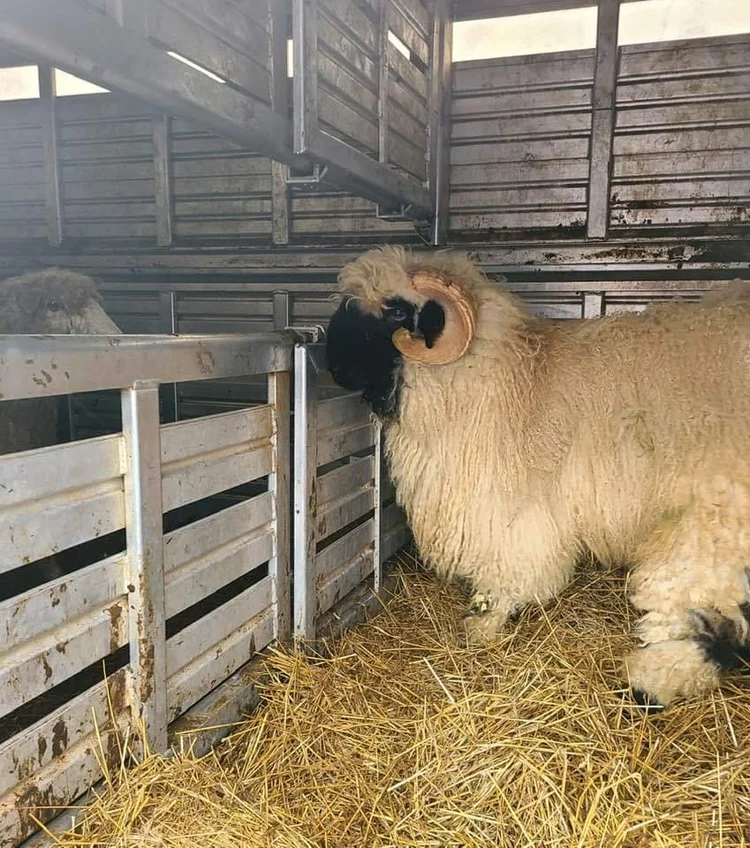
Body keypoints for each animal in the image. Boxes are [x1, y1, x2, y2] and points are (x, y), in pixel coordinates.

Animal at [325, 245, 750, 708]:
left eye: (396, 312)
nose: (331, 364)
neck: (510, 377)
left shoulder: (510, 510)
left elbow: (511, 569)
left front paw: (484, 621)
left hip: (709, 526)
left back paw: (652, 678)